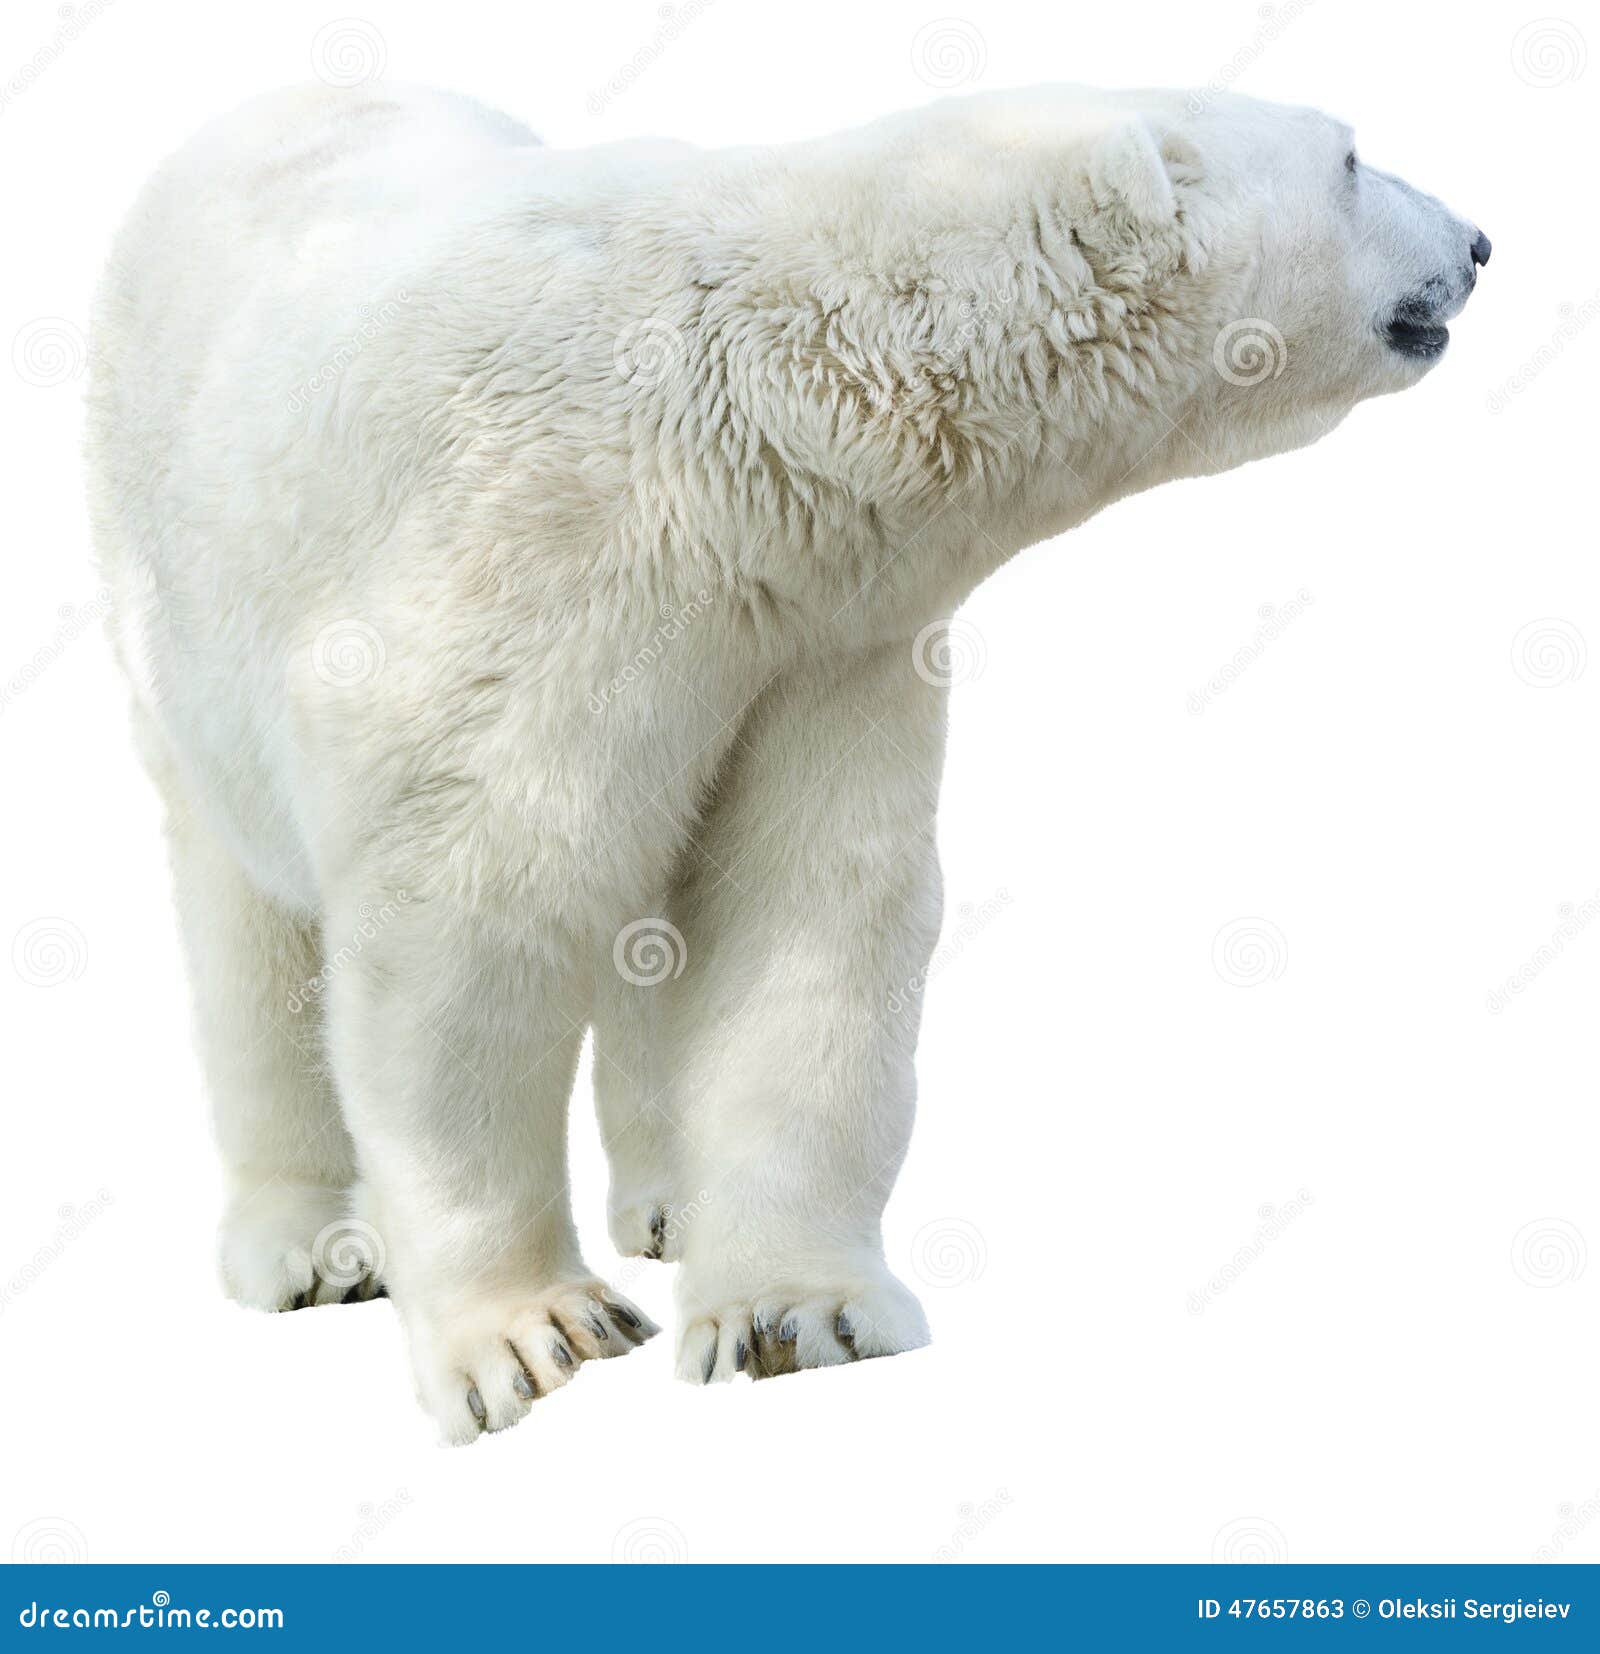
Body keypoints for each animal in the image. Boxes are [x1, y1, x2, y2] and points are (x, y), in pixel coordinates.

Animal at [86, 81, 1488, 1441]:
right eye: (1349, 157)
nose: (1477, 242)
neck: (758, 415)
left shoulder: (816, 633)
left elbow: (802, 905)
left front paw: (790, 1315)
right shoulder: (522, 569)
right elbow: (470, 916)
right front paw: (531, 1335)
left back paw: (667, 1203)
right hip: (175, 594)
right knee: (250, 927)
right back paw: (311, 1244)